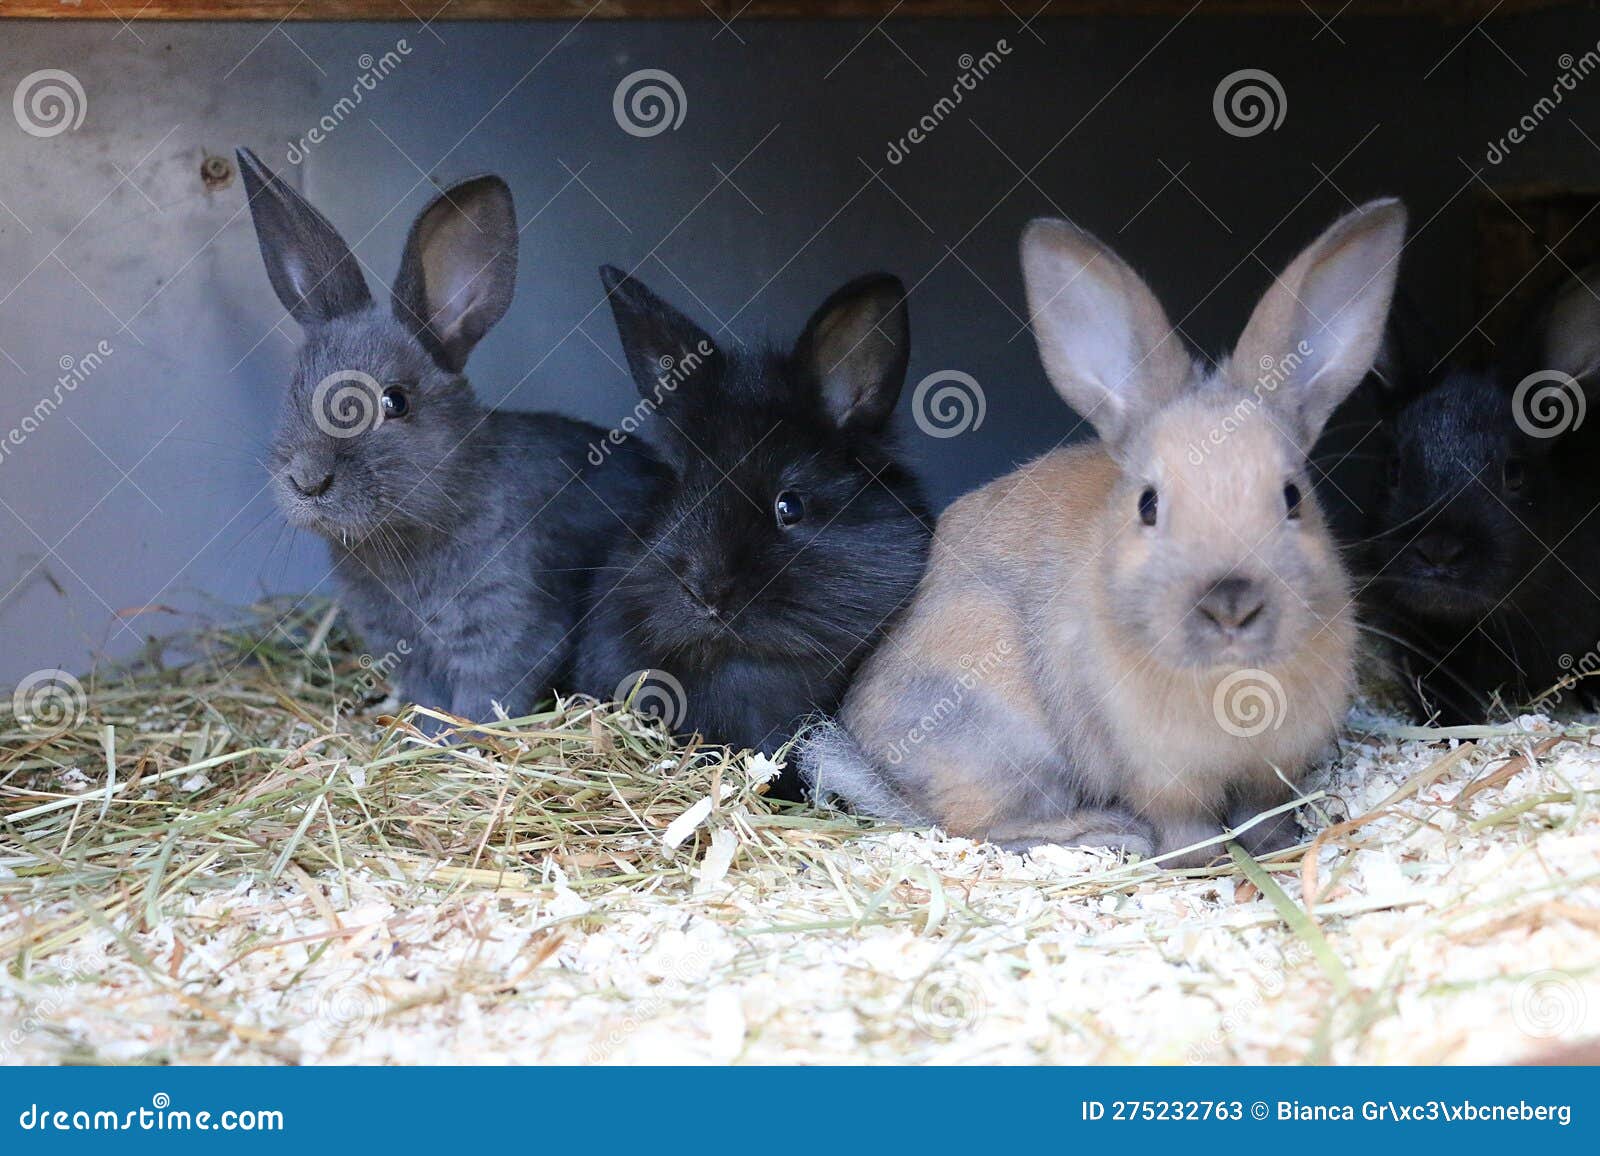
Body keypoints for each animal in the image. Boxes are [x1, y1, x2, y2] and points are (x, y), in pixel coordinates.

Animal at [236, 149, 665, 729]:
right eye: (294, 388)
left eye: (395, 402)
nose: (307, 480)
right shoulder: (405, 647)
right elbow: (427, 694)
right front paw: (423, 730)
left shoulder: (505, 627)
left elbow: (487, 694)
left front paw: (458, 737)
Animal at [803, 199, 1408, 867]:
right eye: (1148, 505)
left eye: (1292, 497)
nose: (1231, 604)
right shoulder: (1160, 778)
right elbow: (1183, 827)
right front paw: (1199, 860)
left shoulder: (1268, 771)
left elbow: (1262, 816)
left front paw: (1280, 848)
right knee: (975, 826)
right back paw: (1108, 832)